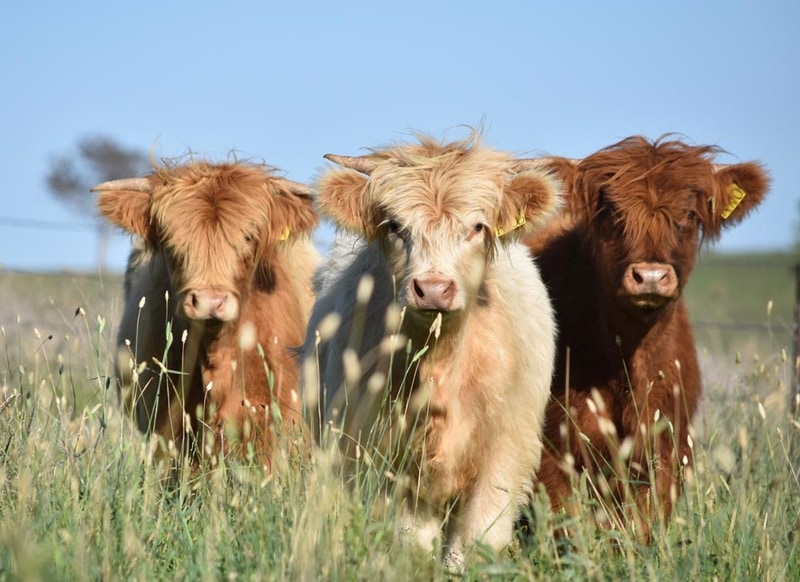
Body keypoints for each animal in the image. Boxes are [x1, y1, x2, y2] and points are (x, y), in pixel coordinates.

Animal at [301, 131, 562, 569]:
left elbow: (478, 542)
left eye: (477, 227)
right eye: (395, 225)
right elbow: (409, 544)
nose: (434, 289)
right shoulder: (385, 461)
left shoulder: (504, 457)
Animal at [525, 135, 770, 542]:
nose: (651, 276)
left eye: (689, 215)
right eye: (611, 213)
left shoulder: (667, 448)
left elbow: (644, 527)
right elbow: (567, 526)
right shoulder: (554, 448)